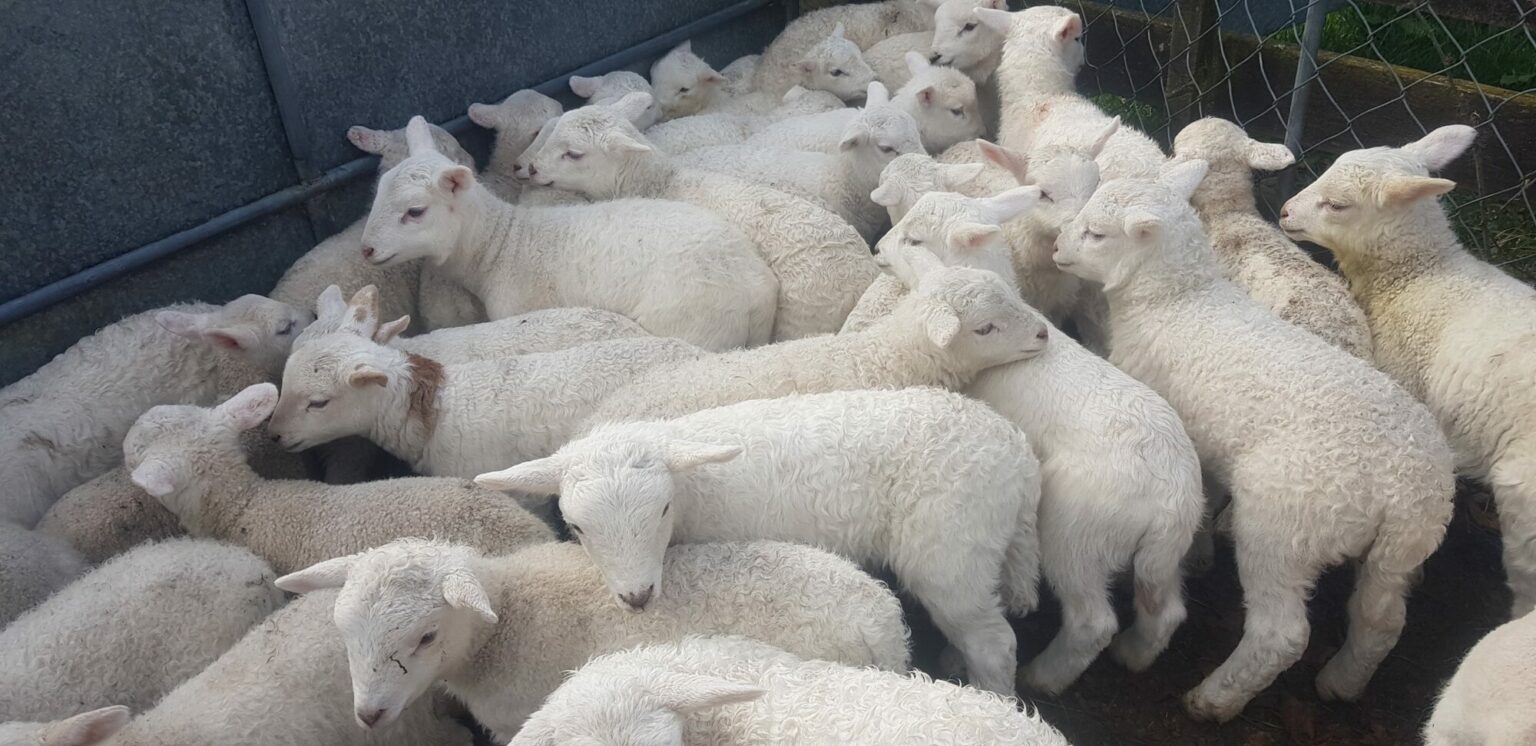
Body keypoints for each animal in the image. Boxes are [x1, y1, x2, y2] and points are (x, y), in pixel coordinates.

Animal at [360, 117, 777, 352]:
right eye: (376, 192)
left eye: (415, 211)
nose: (366, 249)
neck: (503, 245)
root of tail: (758, 290)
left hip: (694, 327)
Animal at [477, 387, 1039, 695]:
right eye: (577, 527)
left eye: (661, 509)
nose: (637, 598)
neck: (693, 490)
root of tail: (1018, 450)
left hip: (951, 547)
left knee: (994, 643)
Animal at [1053, 160, 1455, 721]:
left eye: (1096, 234)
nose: (1055, 247)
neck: (1178, 301)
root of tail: (1407, 492)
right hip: (1398, 551)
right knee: (1380, 618)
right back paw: (1341, 683)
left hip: (1285, 526)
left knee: (1281, 633)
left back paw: (1213, 700)